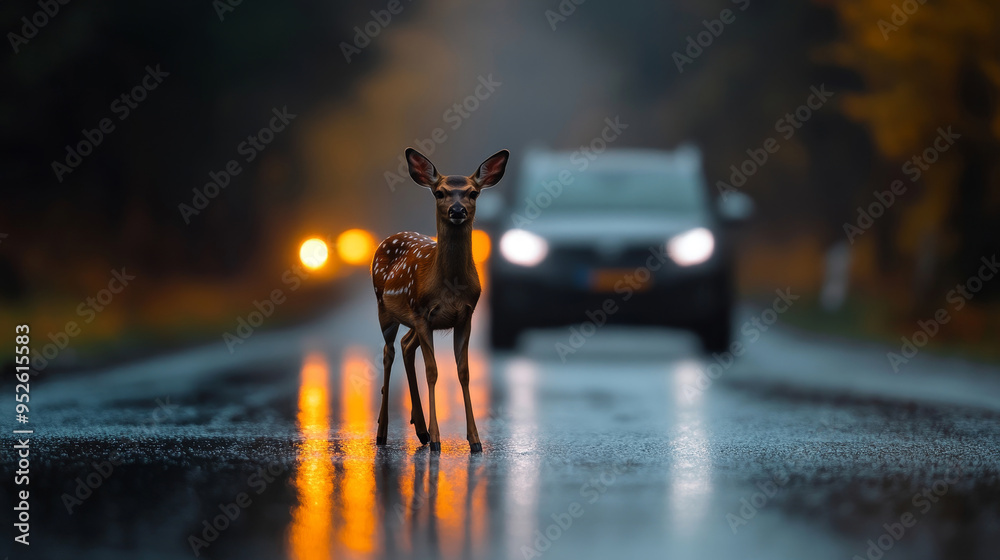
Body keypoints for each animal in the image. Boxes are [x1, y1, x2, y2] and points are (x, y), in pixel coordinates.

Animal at [371, 147, 509, 453]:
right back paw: (383, 433)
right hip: (385, 309)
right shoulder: (423, 312)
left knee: (405, 345)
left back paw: (420, 430)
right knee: (389, 352)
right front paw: (437, 440)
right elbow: (432, 371)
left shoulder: (465, 315)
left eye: (473, 193)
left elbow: (464, 371)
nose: (457, 210)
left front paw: (475, 441)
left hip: (412, 320)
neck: (450, 286)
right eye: (439, 192)